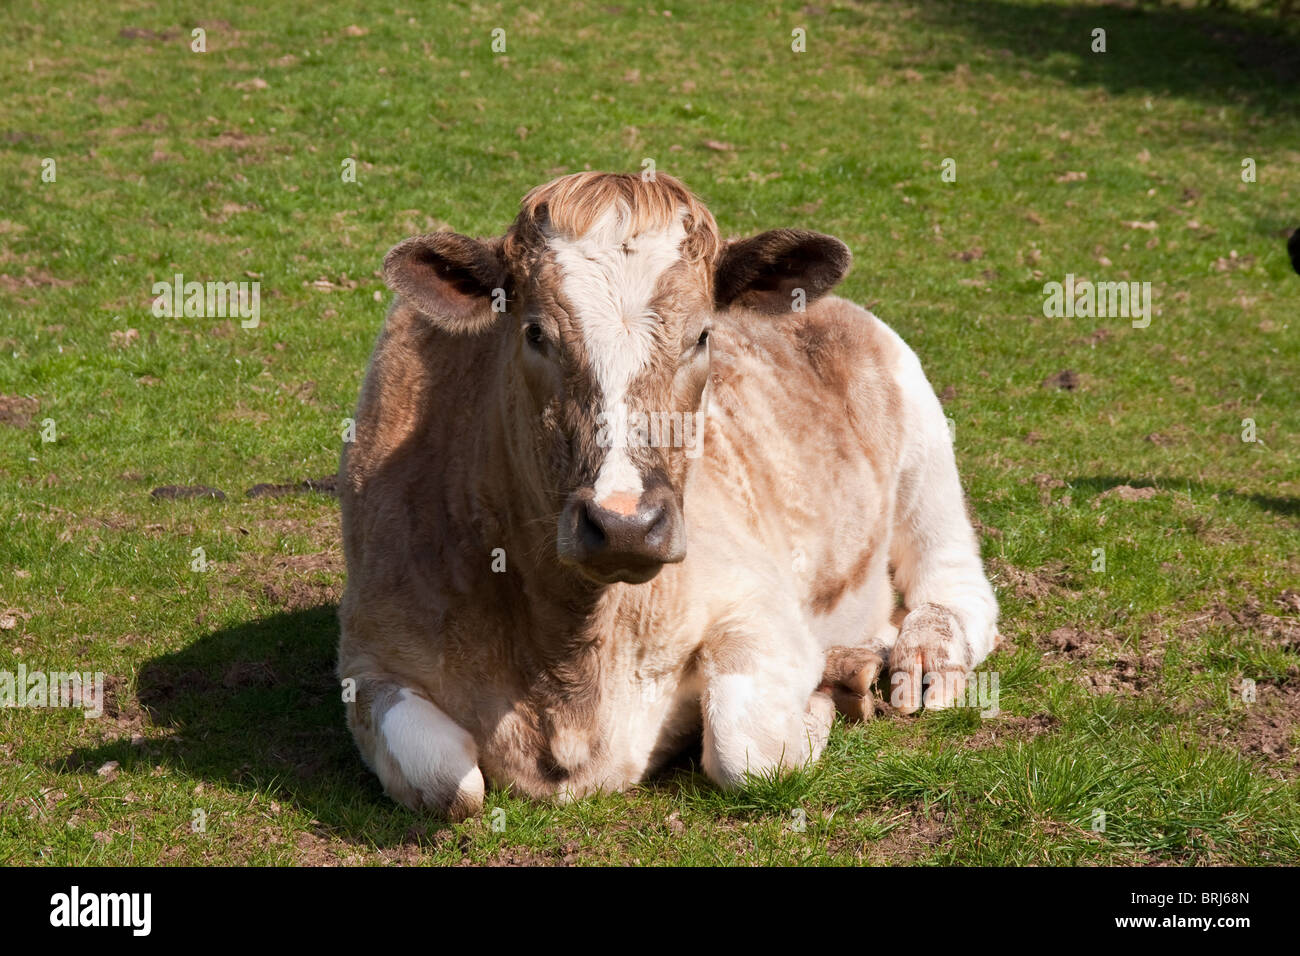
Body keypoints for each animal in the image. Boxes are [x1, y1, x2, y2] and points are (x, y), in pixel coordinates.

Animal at [337, 172, 999, 818]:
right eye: (535, 333)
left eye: (703, 334)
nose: (625, 524)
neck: (569, 670)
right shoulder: (368, 658)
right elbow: (447, 785)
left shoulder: (755, 596)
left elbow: (748, 750)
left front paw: (820, 701)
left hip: (925, 440)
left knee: (955, 584)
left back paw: (919, 657)